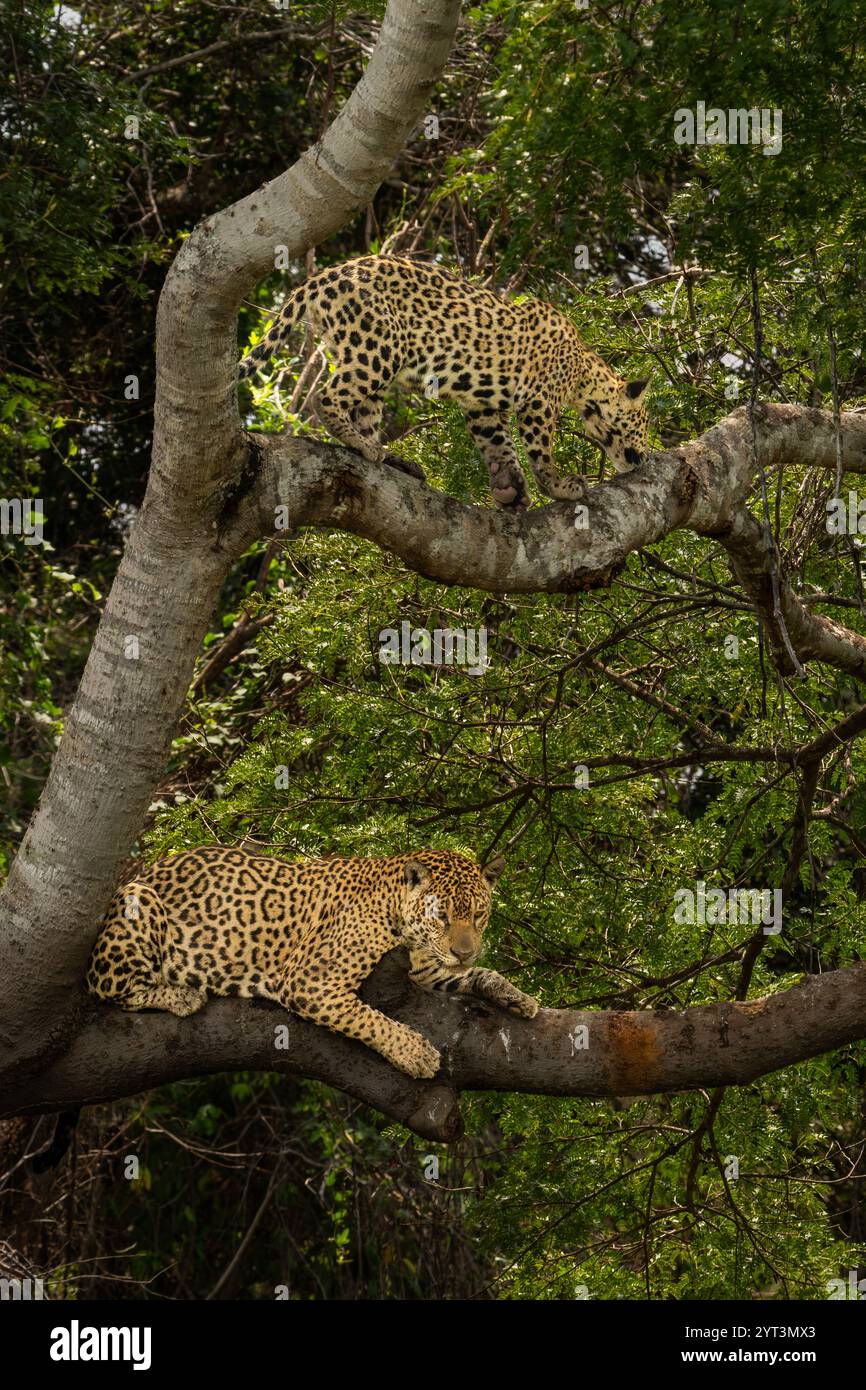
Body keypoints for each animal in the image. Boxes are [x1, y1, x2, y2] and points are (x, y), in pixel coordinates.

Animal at [85, 845, 539, 1079]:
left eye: (478, 915)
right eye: (442, 915)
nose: (465, 950)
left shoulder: (427, 969)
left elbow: (478, 975)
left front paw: (519, 998)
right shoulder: (310, 981)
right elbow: (369, 1019)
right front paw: (417, 1054)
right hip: (138, 903)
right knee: (109, 988)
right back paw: (182, 996)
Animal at [238, 254, 650, 510]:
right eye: (644, 424)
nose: (645, 457)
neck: (584, 374)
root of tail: (325, 275)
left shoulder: (483, 406)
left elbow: (499, 446)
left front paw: (508, 487)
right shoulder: (538, 402)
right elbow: (540, 453)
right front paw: (561, 488)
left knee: (362, 410)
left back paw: (390, 458)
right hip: (380, 348)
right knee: (326, 397)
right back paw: (365, 447)